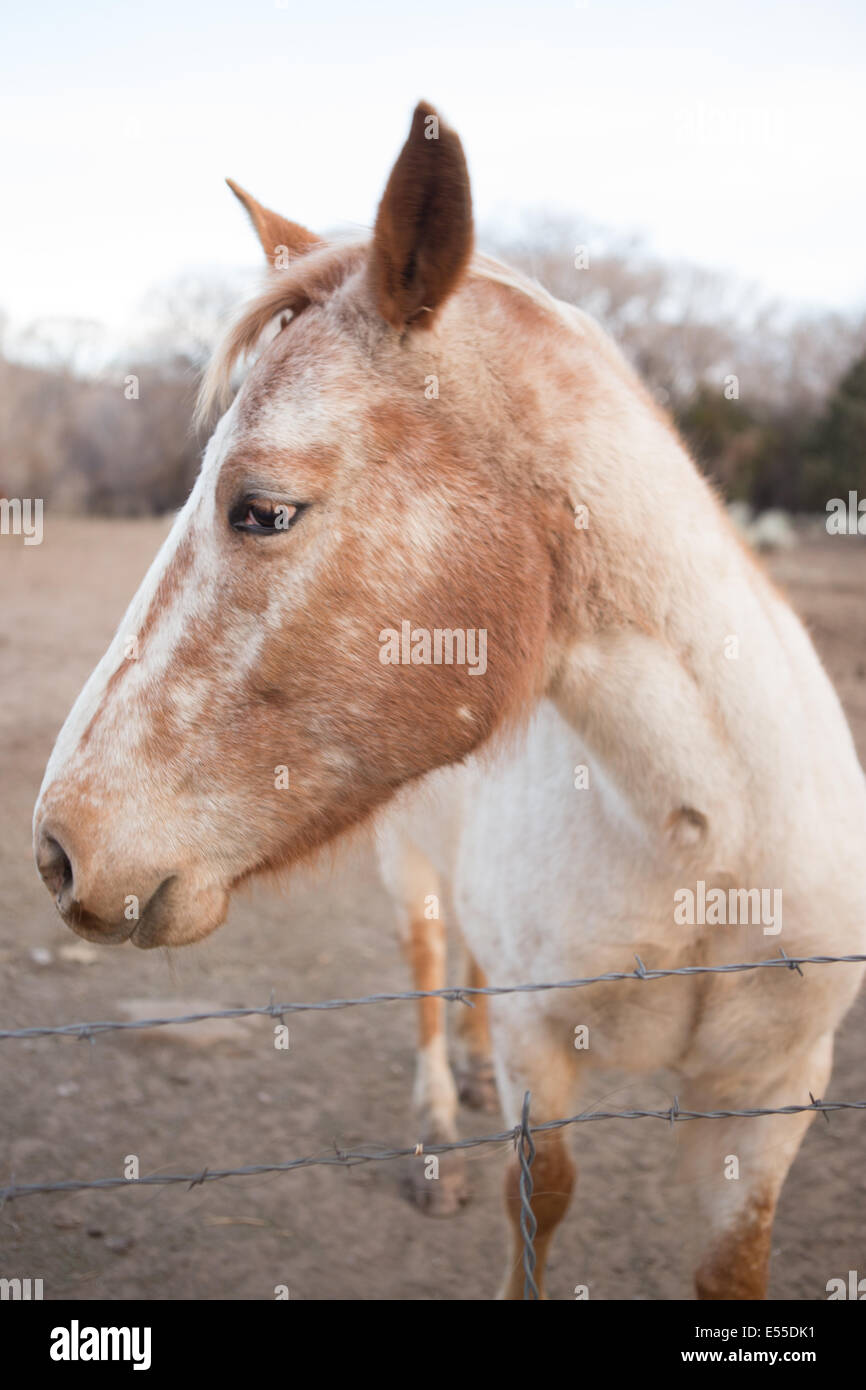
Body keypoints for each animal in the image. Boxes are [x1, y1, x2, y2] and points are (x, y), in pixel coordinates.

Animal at [34, 101, 866, 1299]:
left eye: (263, 508)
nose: (58, 849)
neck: (709, 841)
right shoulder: (541, 1053)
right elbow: (538, 1205)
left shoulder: (767, 1101)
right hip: (408, 869)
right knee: (432, 981)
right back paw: (437, 1126)